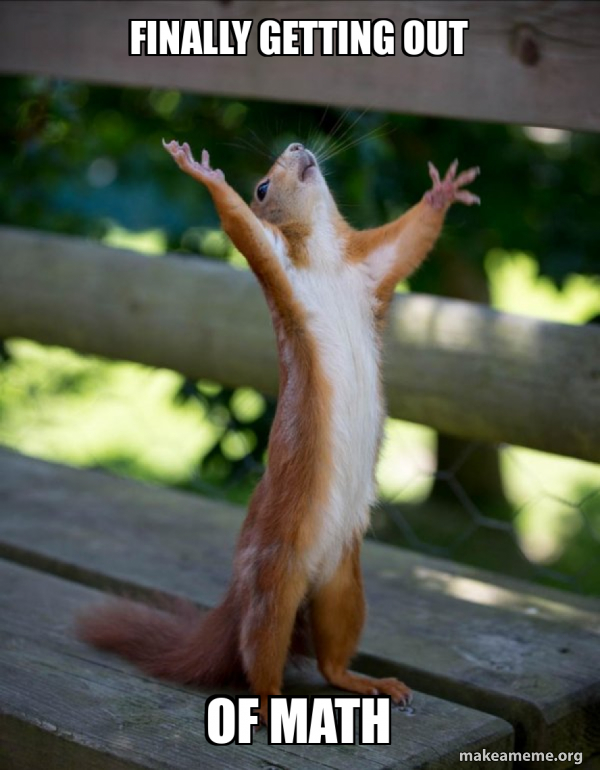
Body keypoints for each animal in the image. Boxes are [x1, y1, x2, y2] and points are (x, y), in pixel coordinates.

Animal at [77, 138, 479, 725]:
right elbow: (240, 225)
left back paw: (369, 682)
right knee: (259, 656)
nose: (296, 146)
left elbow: (410, 240)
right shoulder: (277, 264)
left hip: (343, 586)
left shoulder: (371, 267)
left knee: (331, 661)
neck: (327, 257)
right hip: (273, 583)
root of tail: (239, 594)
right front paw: (204, 173)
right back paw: (269, 707)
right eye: (262, 187)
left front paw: (443, 192)